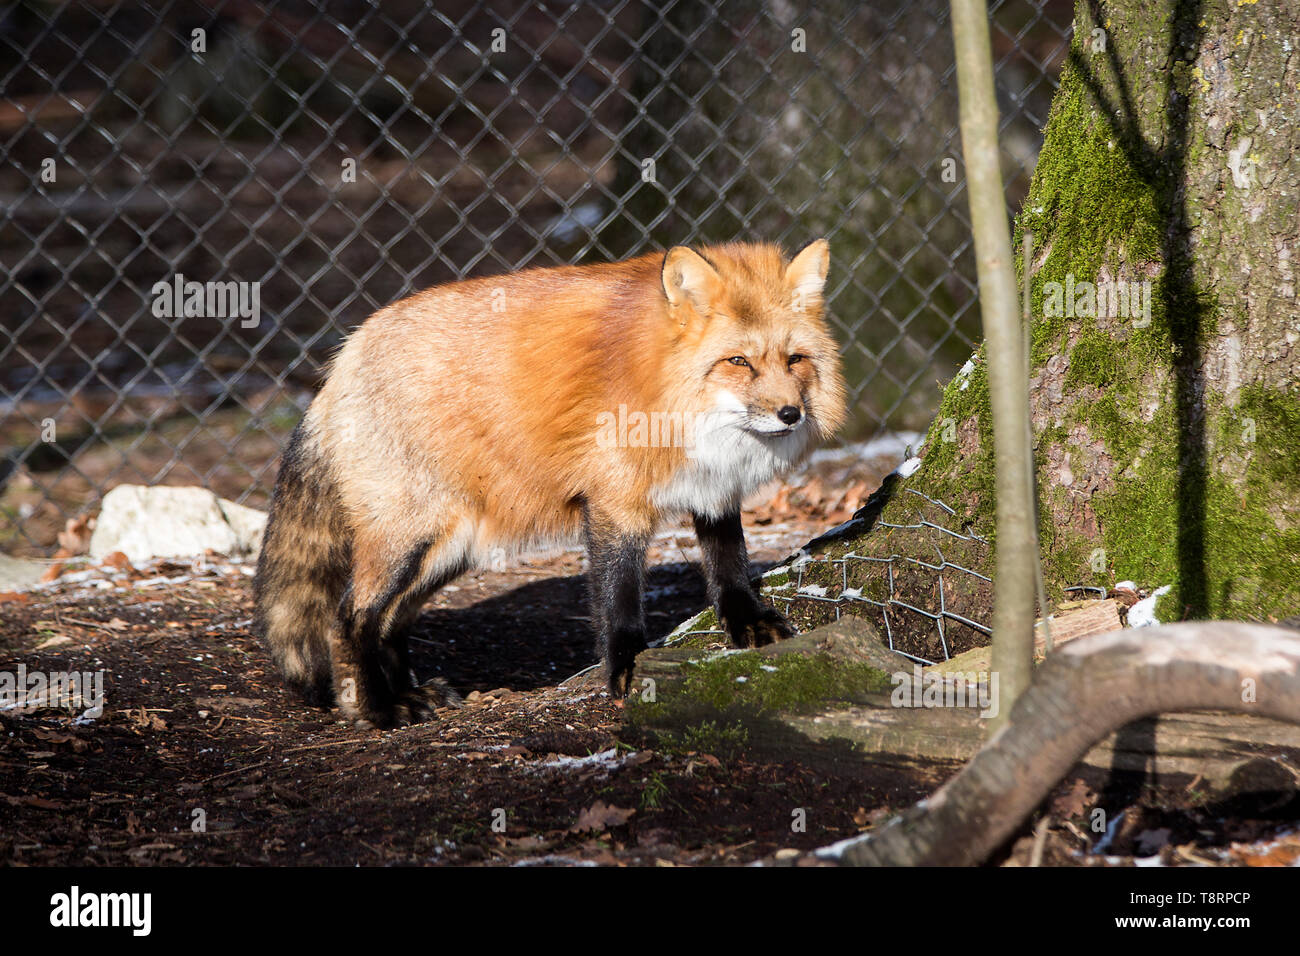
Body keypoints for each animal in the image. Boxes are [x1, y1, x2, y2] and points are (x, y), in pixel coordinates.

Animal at [253, 239, 847, 728]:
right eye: (738, 361)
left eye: (795, 359)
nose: (790, 414)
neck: (669, 395)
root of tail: (344, 355)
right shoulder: (613, 501)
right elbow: (618, 597)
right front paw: (625, 669)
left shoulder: (713, 486)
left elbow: (729, 564)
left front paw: (747, 623)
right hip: (410, 539)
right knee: (350, 617)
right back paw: (377, 709)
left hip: (452, 547)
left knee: (392, 623)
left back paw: (408, 693)